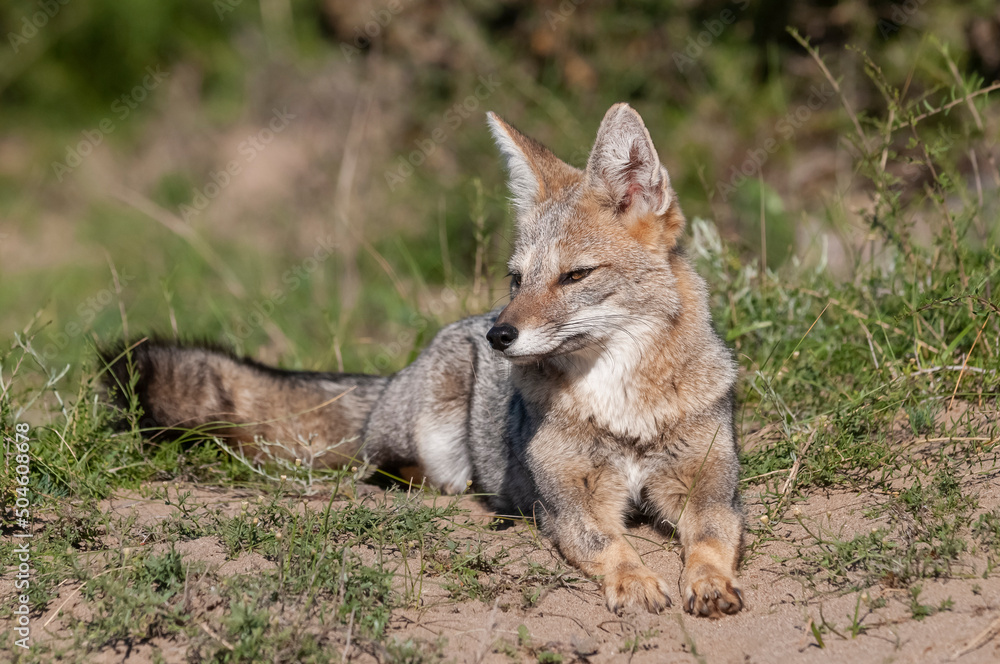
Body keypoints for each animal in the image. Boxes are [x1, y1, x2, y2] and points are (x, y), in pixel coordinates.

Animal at [102, 103, 744, 618]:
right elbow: (606, 543)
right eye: (517, 278)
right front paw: (635, 580)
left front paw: (709, 583)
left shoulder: (710, 484)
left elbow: (714, 537)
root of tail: (399, 371)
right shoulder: (568, 501)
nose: (499, 335)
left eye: (575, 276)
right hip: (430, 435)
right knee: (381, 467)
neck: (621, 407)